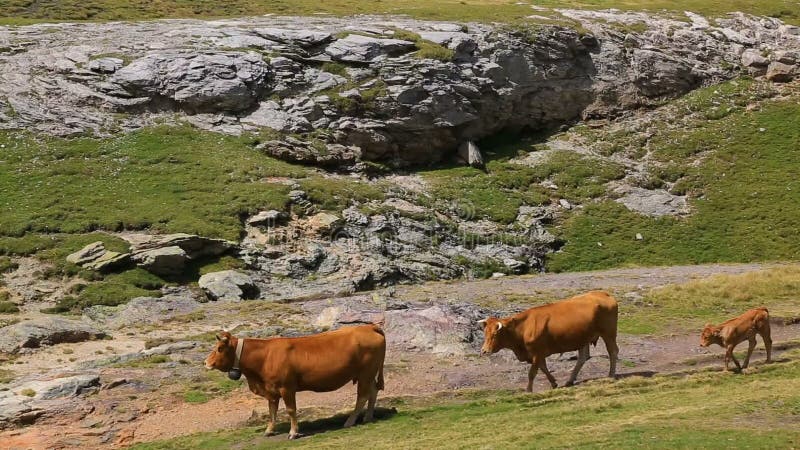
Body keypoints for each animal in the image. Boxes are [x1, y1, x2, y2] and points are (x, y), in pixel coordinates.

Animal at [204, 324, 386, 439]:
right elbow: (272, 411)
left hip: (366, 373)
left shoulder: (287, 388)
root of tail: (369, 326)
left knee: (362, 396)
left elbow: (291, 410)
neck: (264, 356)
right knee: (373, 392)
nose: (206, 363)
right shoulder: (271, 389)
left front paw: (293, 432)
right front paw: (269, 430)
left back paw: (349, 421)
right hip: (369, 374)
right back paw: (368, 417)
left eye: (219, 348)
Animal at [479, 290, 619, 392]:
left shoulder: (537, 353)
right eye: (485, 333)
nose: (484, 351)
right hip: (583, 338)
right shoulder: (538, 354)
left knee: (613, 351)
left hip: (609, 333)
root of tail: (603, 293)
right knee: (582, 358)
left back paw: (611, 374)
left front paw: (528, 390)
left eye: (495, 334)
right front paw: (553, 383)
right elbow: (544, 368)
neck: (524, 327)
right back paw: (570, 380)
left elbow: (532, 372)